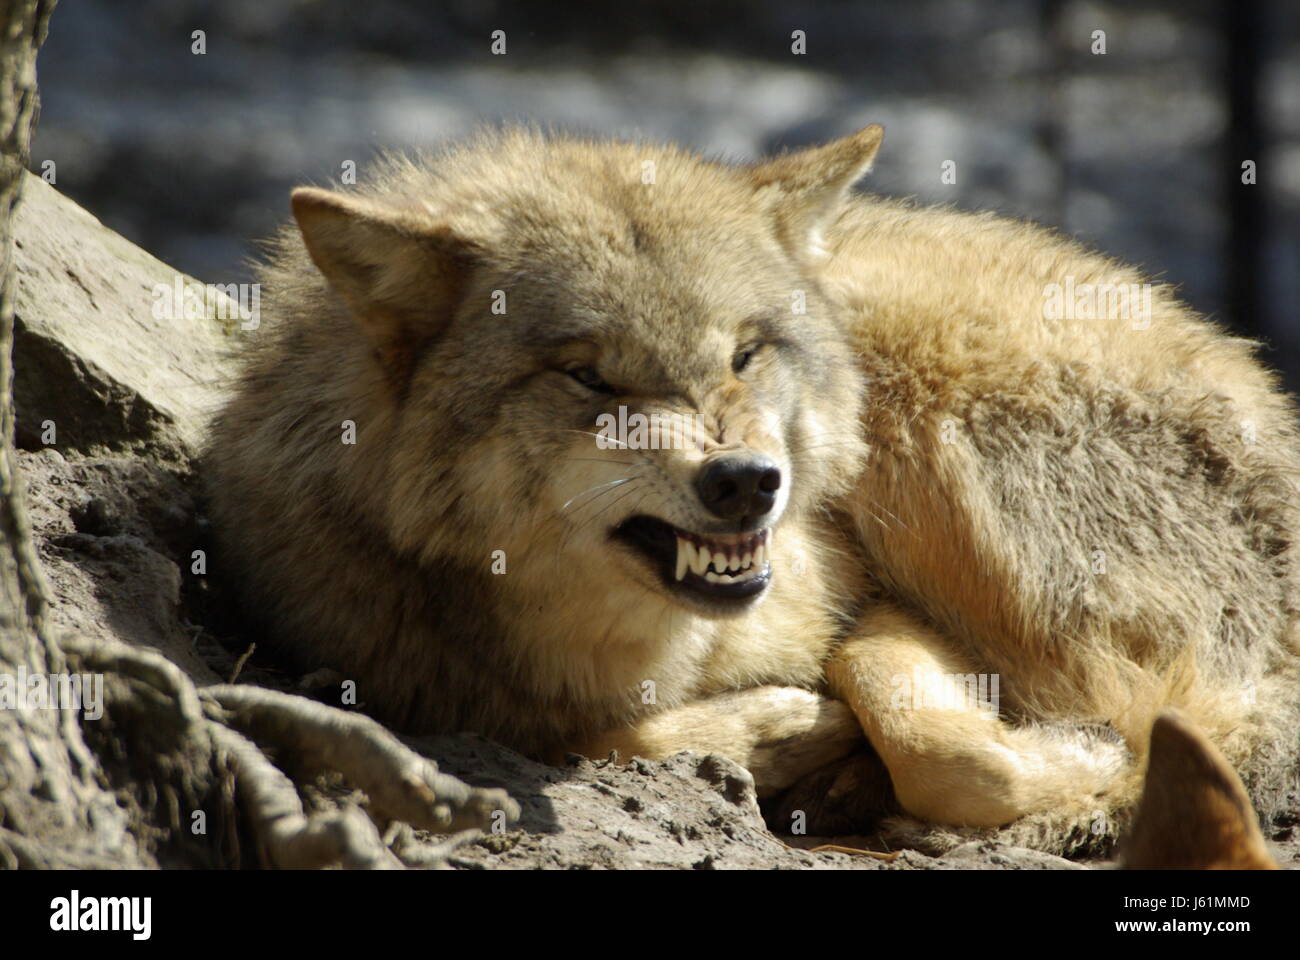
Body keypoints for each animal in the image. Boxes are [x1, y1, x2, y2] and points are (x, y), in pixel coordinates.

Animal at [207, 125, 1300, 855]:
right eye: (590, 378)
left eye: (741, 355)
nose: (747, 483)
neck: (667, 649)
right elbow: (587, 734)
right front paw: (782, 735)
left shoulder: (876, 598)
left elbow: (934, 738)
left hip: (920, 411)